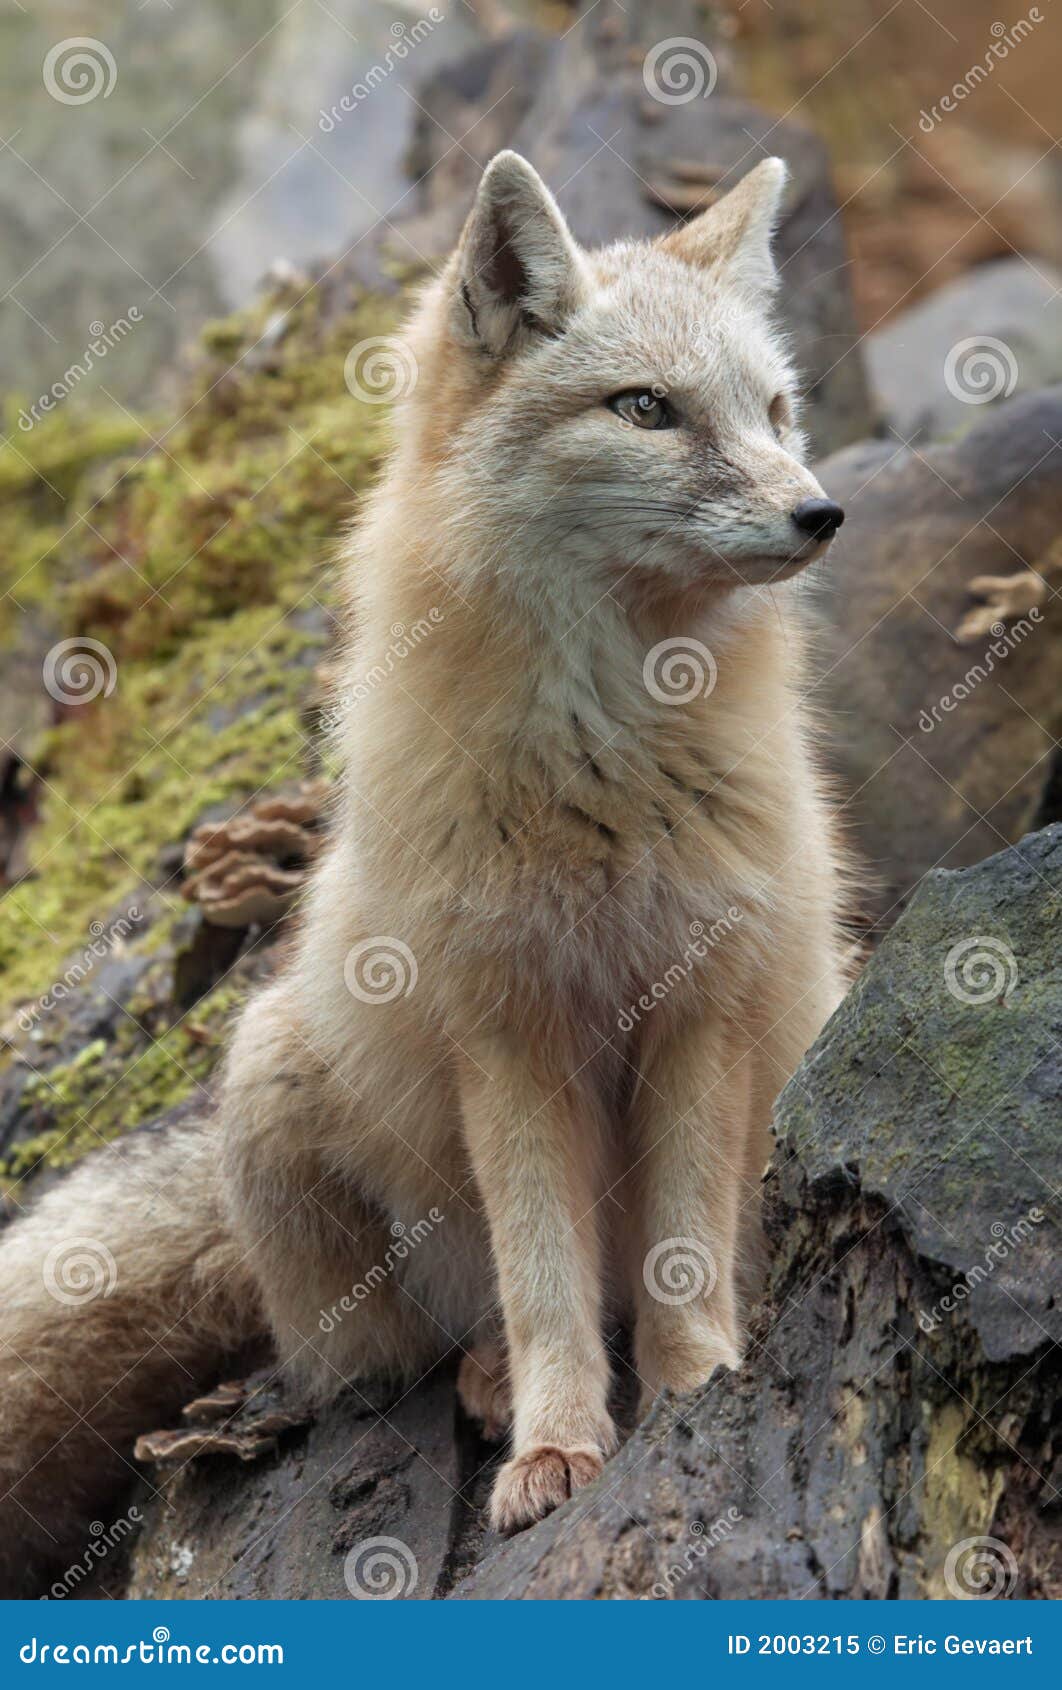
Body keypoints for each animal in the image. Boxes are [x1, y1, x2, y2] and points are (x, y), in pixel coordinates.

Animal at [0, 151, 850, 1594]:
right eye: (647, 409)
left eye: (777, 410)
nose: (821, 510)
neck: (607, 763)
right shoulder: (503, 1031)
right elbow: (547, 1275)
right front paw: (559, 1445)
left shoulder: (702, 1008)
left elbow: (684, 1257)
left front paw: (697, 1387)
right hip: (283, 1075)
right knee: (409, 1347)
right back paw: (493, 1379)